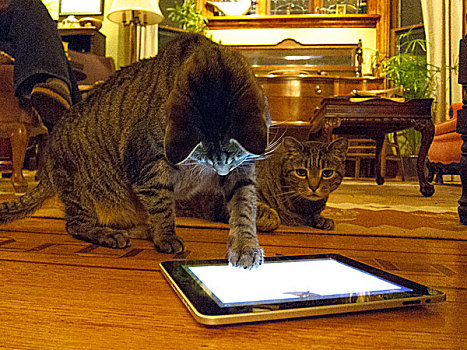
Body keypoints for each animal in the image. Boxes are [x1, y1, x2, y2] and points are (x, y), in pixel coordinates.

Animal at [0, 32, 270, 268]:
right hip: (82, 194)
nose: (221, 171)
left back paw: (141, 229)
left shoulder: (243, 170)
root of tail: (45, 168)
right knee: (75, 225)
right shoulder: (148, 166)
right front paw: (166, 236)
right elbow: (162, 205)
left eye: (230, 159)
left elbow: (244, 208)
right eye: (202, 157)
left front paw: (246, 247)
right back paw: (110, 234)